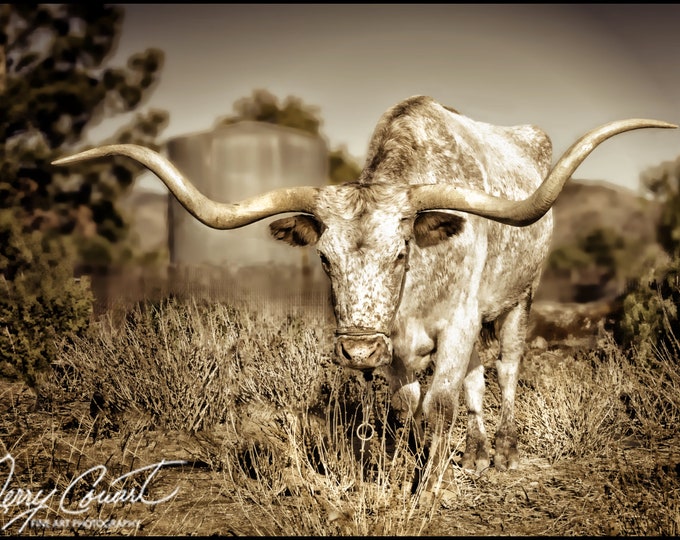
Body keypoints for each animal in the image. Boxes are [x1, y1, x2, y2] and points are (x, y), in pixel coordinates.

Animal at [53, 95, 676, 477]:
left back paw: (501, 450)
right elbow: (409, 408)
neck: (414, 290)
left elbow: (438, 406)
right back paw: (475, 452)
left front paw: (426, 483)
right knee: (478, 376)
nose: (356, 349)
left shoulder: (457, 322)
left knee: (506, 367)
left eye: (400, 252)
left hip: (518, 300)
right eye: (325, 260)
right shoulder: (401, 346)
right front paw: (408, 465)